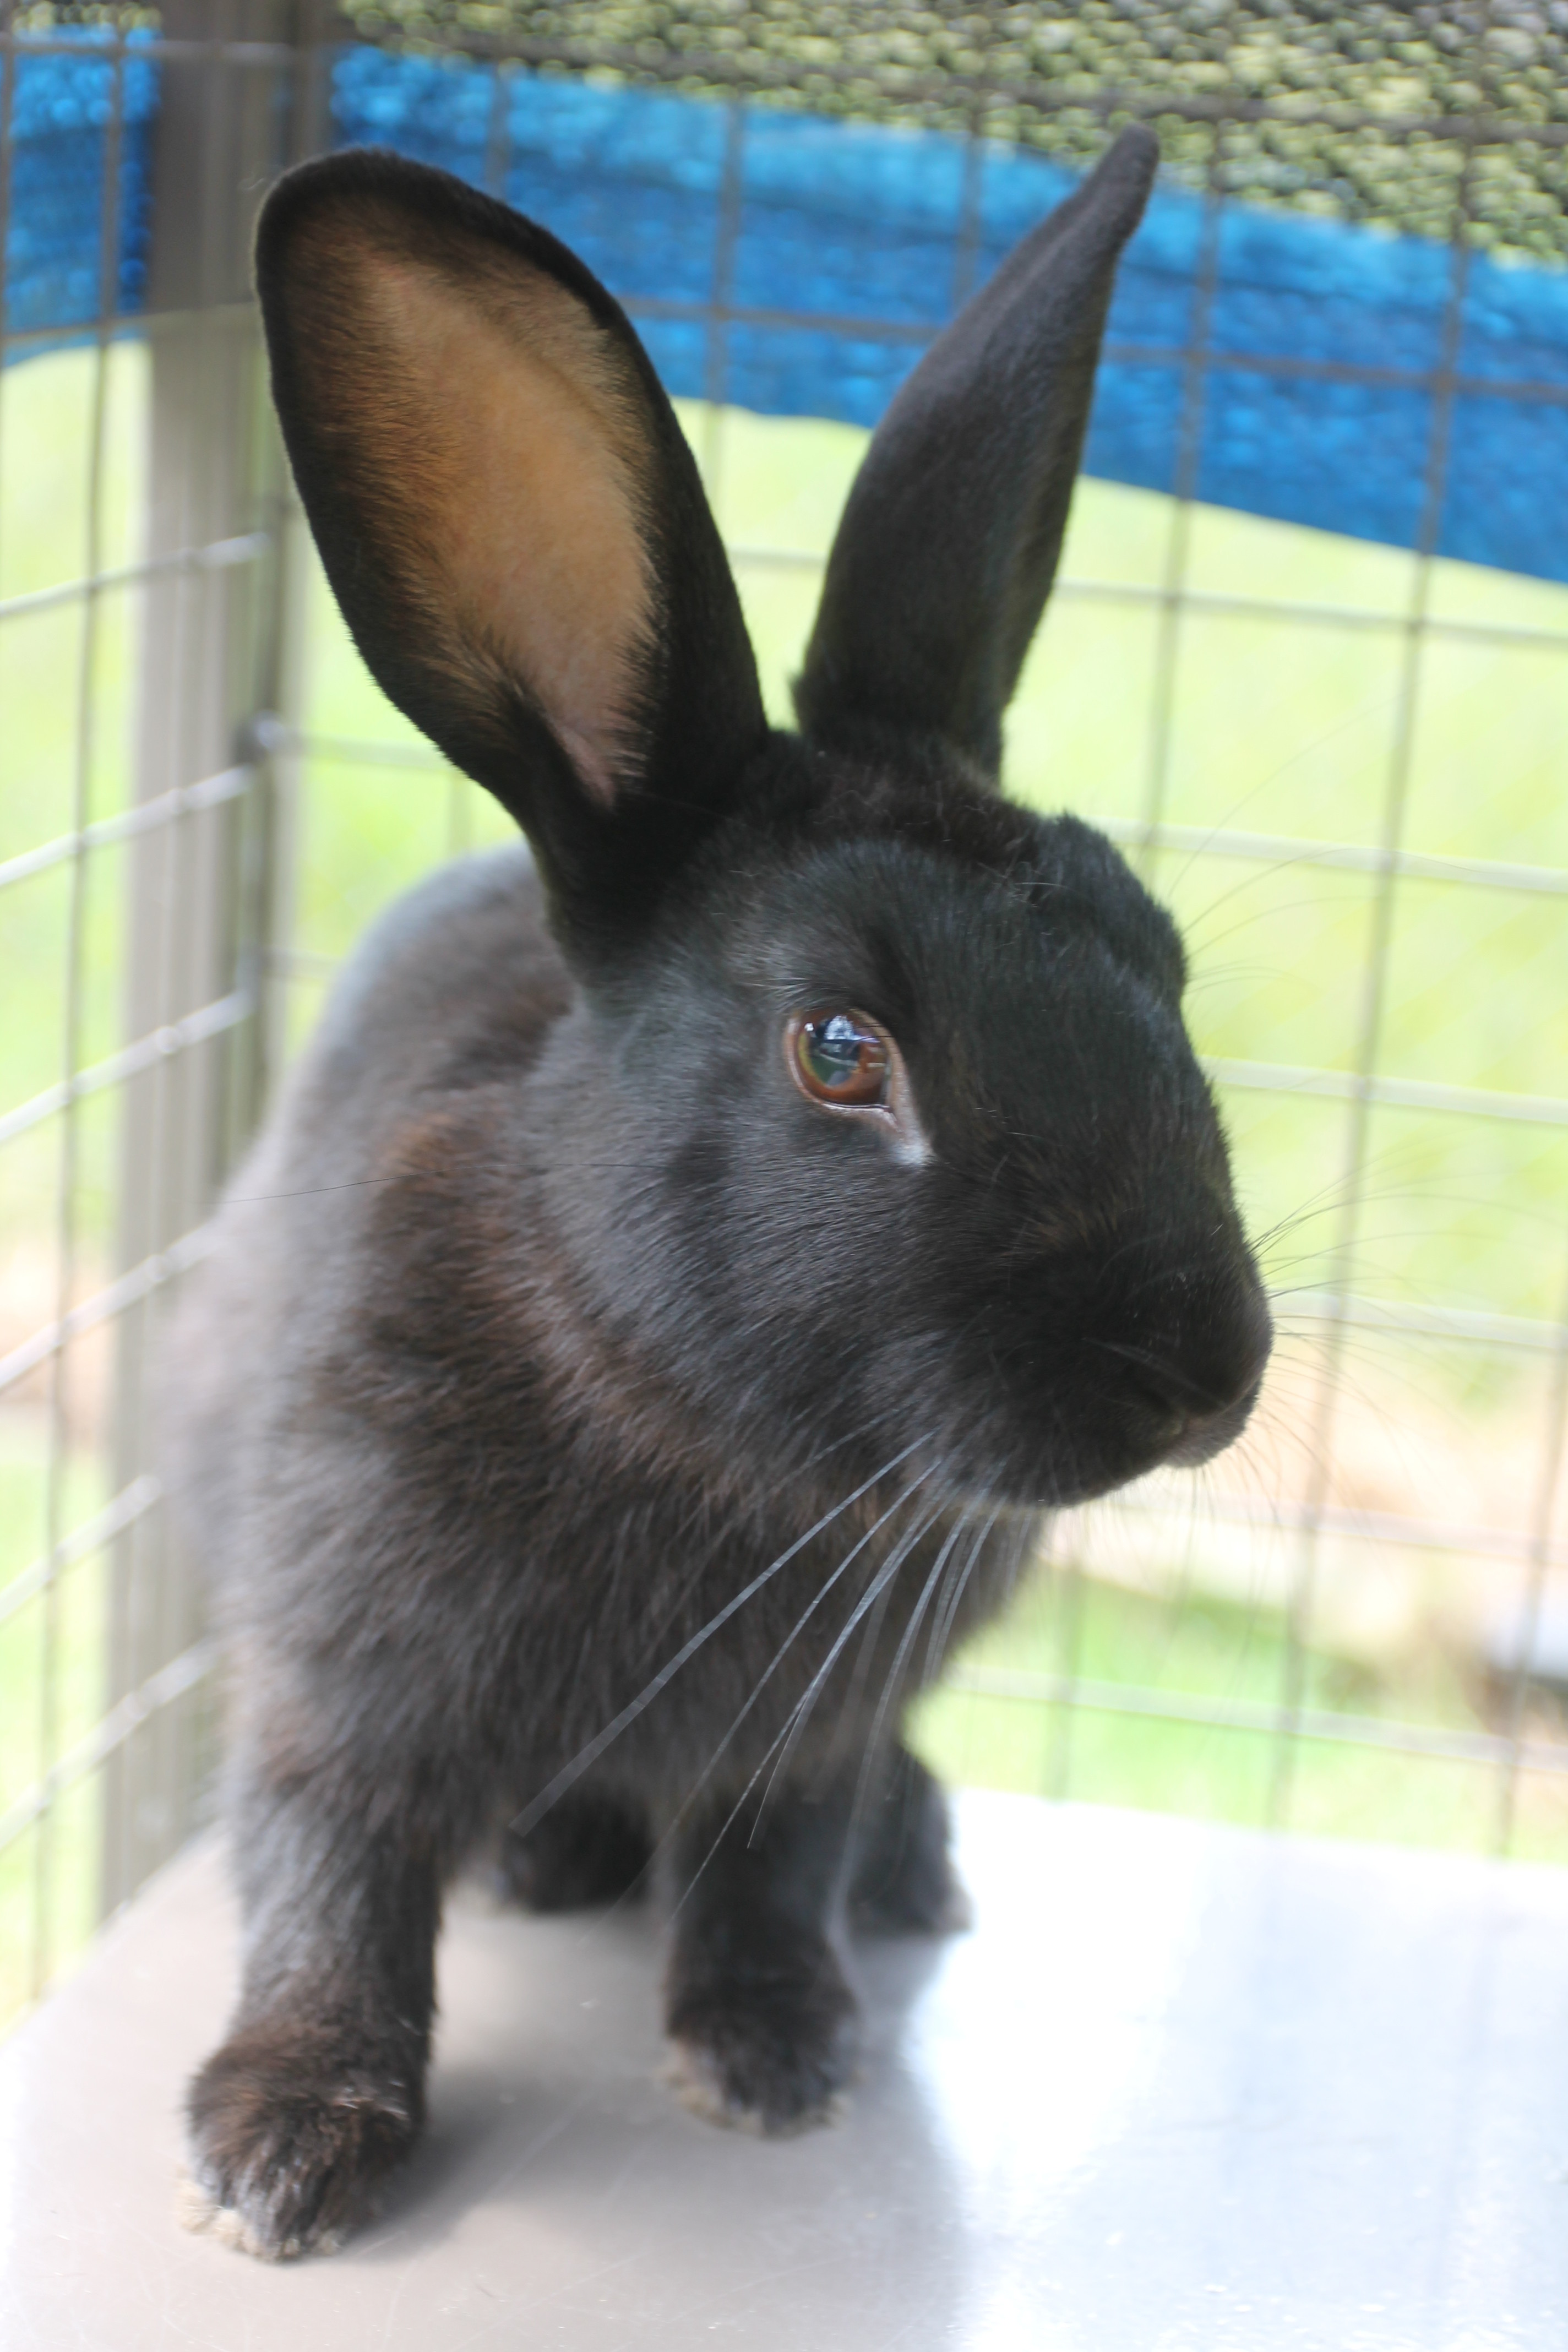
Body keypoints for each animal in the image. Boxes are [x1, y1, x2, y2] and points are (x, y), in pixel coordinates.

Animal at [169, 123, 1272, 2261]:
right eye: (841, 1051)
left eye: (1164, 957)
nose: (1206, 1373)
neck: (718, 1452)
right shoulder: (334, 1654)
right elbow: (326, 1865)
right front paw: (277, 2152)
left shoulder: (813, 1728)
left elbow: (776, 1848)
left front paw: (767, 2057)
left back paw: (908, 1869)